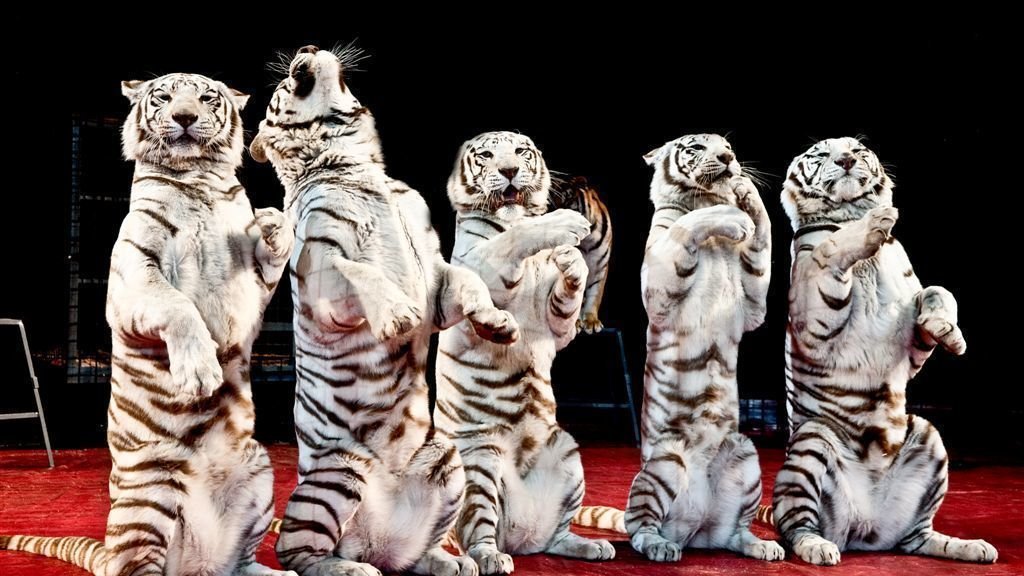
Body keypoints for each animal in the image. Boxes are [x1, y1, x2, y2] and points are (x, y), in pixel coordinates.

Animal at [0, 73, 296, 576]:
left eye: (206, 97)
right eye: (164, 97)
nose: (185, 117)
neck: (197, 180)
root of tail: (199, 566)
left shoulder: (255, 289)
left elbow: (276, 249)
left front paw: (274, 222)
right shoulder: (134, 277)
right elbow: (179, 307)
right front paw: (199, 371)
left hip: (260, 470)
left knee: (240, 563)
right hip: (148, 497)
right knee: (135, 565)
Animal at [248, 46, 519, 576]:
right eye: (283, 87)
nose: (306, 48)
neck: (355, 166)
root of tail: (374, 542)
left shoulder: (436, 277)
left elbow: (470, 282)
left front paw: (497, 323)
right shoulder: (322, 270)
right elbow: (361, 271)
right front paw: (395, 315)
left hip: (448, 461)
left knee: (412, 554)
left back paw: (446, 560)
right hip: (337, 474)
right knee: (299, 551)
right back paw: (346, 567)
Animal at [548, 176, 612, 334]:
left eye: (566, 202)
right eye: (550, 207)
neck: (587, 240)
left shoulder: (600, 269)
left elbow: (594, 296)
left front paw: (591, 322)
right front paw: (575, 324)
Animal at [623, 133, 784, 563]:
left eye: (727, 145)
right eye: (695, 146)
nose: (729, 158)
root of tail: (693, 533)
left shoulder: (753, 308)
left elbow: (763, 237)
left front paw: (746, 192)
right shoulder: (660, 288)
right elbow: (685, 224)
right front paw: (733, 216)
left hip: (745, 453)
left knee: (732, 533)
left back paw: (761, 545)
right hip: (665, 461)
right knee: (638, 524)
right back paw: (659, 546)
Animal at [772, 136, 997, 565]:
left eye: (857, 150)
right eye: (822, 154)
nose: (846, 159)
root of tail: (865, 531)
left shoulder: (912, 346)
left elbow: (938, 291)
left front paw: (949, 333)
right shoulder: (813, 315)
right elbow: (830, 249)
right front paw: (874, 224)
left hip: (927, 436)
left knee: (915, 538)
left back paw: (971, 547)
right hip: (813, 439)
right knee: (795, 524)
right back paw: (817, 547)